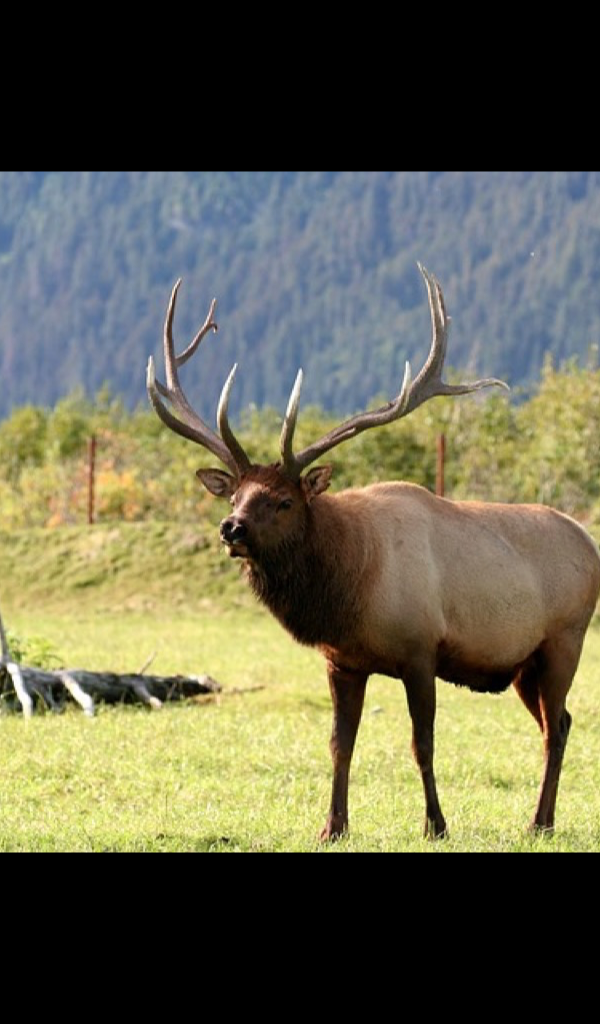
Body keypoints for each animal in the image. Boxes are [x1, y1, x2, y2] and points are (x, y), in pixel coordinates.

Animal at [147, 265, 600, 842]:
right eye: (234, 496)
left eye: (283, 500)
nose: (231, 528)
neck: (350, 588)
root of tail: (589, 542)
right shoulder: (342, 662)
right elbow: (340, 745)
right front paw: (332, 827)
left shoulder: (421, 651)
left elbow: (422, 744)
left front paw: (436, 825)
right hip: (524, 664)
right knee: (559, 720)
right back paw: (544, 819)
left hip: (565, 639)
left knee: (556, 727)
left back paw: (538, 822)